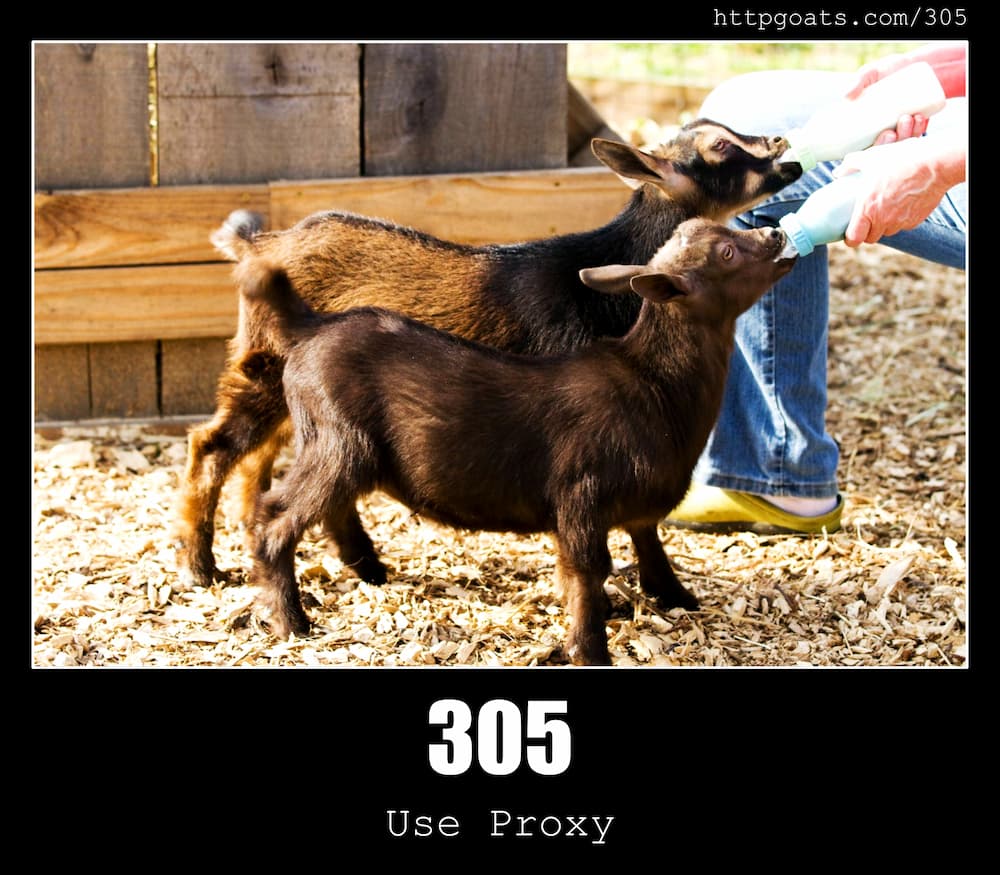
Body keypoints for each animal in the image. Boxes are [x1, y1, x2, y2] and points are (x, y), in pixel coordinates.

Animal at [177, 120, 800, 592]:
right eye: (719, 147)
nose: (783, 148)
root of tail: (260, 244)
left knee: (271, 459)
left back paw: (352, 562)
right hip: (263, 371)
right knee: (214, 445)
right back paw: (202, 566)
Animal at [237, 218, 797, 665]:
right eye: (725, 253)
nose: (776, 234)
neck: (652, 382)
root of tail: (309, 328)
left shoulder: (638, 502)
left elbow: (648, 542)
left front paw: (676, 597)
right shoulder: (580, 498)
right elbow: (588, 571)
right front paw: (589, 650)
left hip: (343, 450)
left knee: (331, 508)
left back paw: (369, 571)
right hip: (337, 443)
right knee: (276, 516)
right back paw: (291, 622)